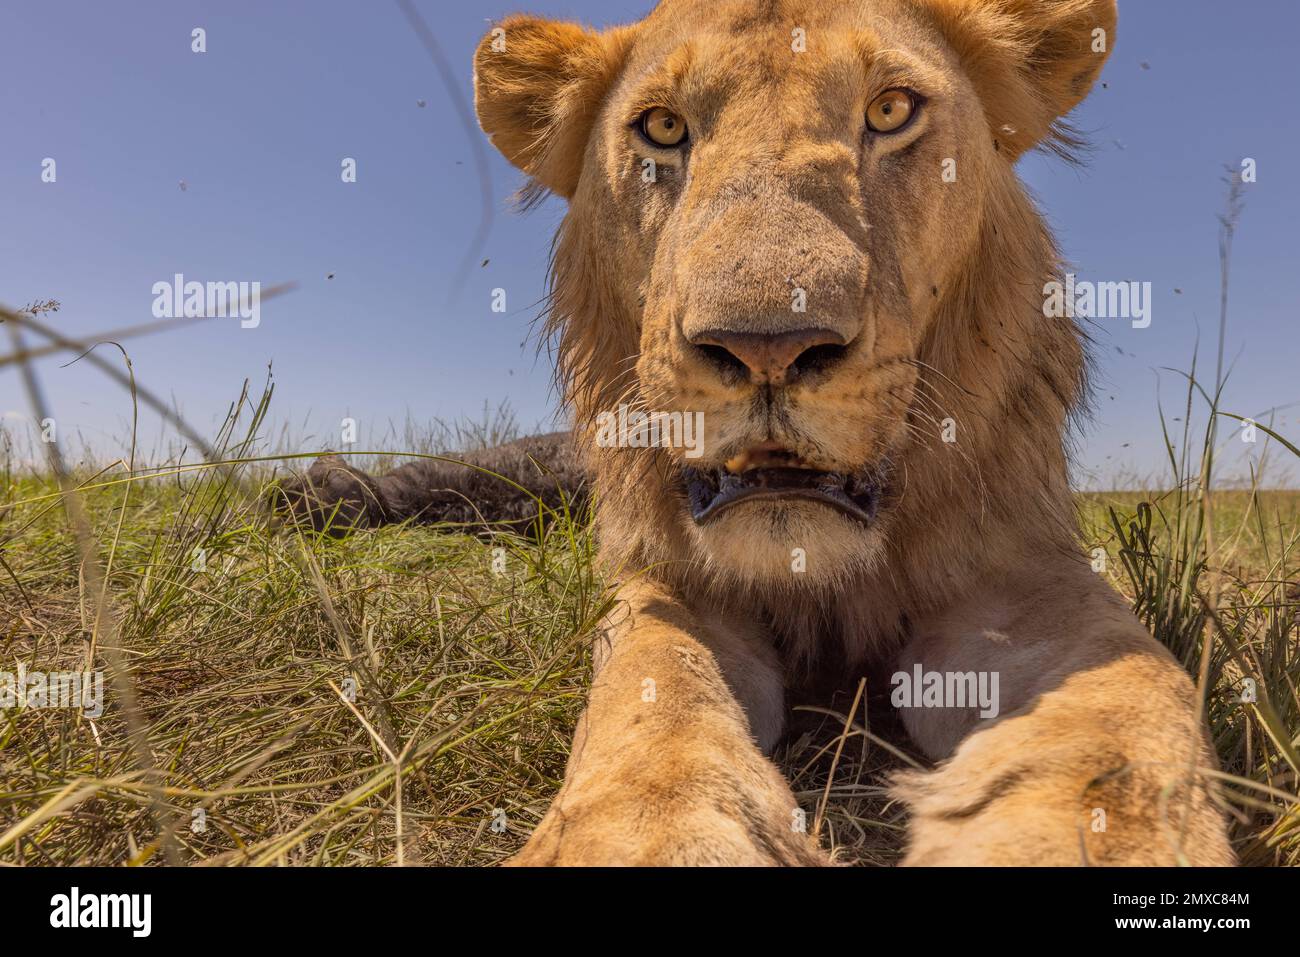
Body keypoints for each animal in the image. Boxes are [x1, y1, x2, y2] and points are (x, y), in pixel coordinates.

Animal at [289, 0, 1235, 865]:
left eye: (891, 110)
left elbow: (1132, 684)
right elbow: (649, 685)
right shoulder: (661, 581)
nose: (768, 344)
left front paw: (1080, 836)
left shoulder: (1023, 576)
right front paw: (647, 834)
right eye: (663, 128)